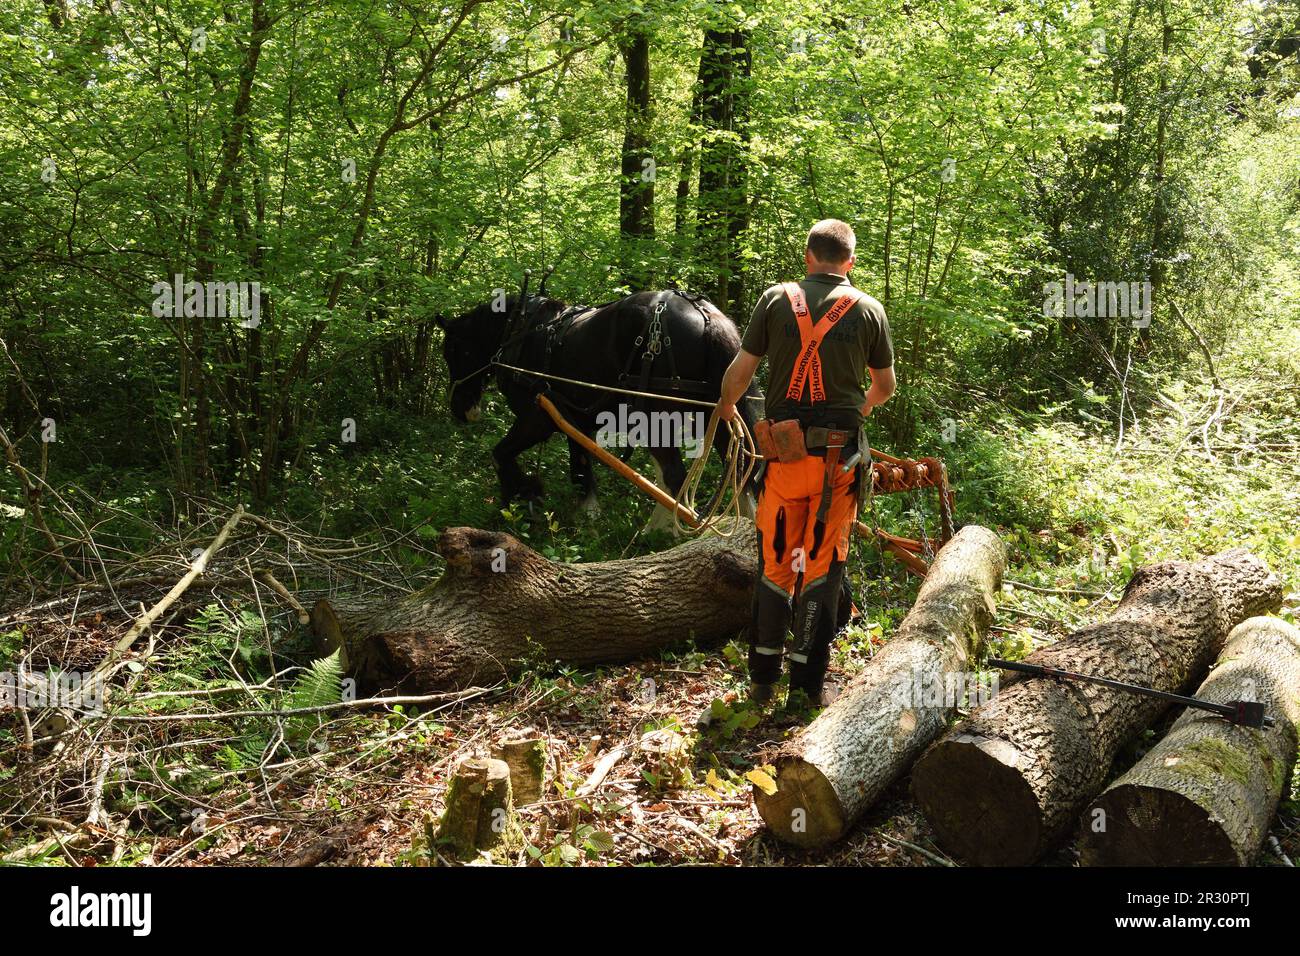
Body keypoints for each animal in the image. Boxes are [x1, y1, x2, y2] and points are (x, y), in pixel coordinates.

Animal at [437, 289, 762, 519]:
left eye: (454, 350)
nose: (459, 408)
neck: (520, 334)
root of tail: (704, 314)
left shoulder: (537, 418)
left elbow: (500, 454)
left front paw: (520, 497)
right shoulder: (575, 422)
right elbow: (581, 470)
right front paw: (587, 518)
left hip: (655, 415)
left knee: (675, 477)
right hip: (718, 411)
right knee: (739, 471)